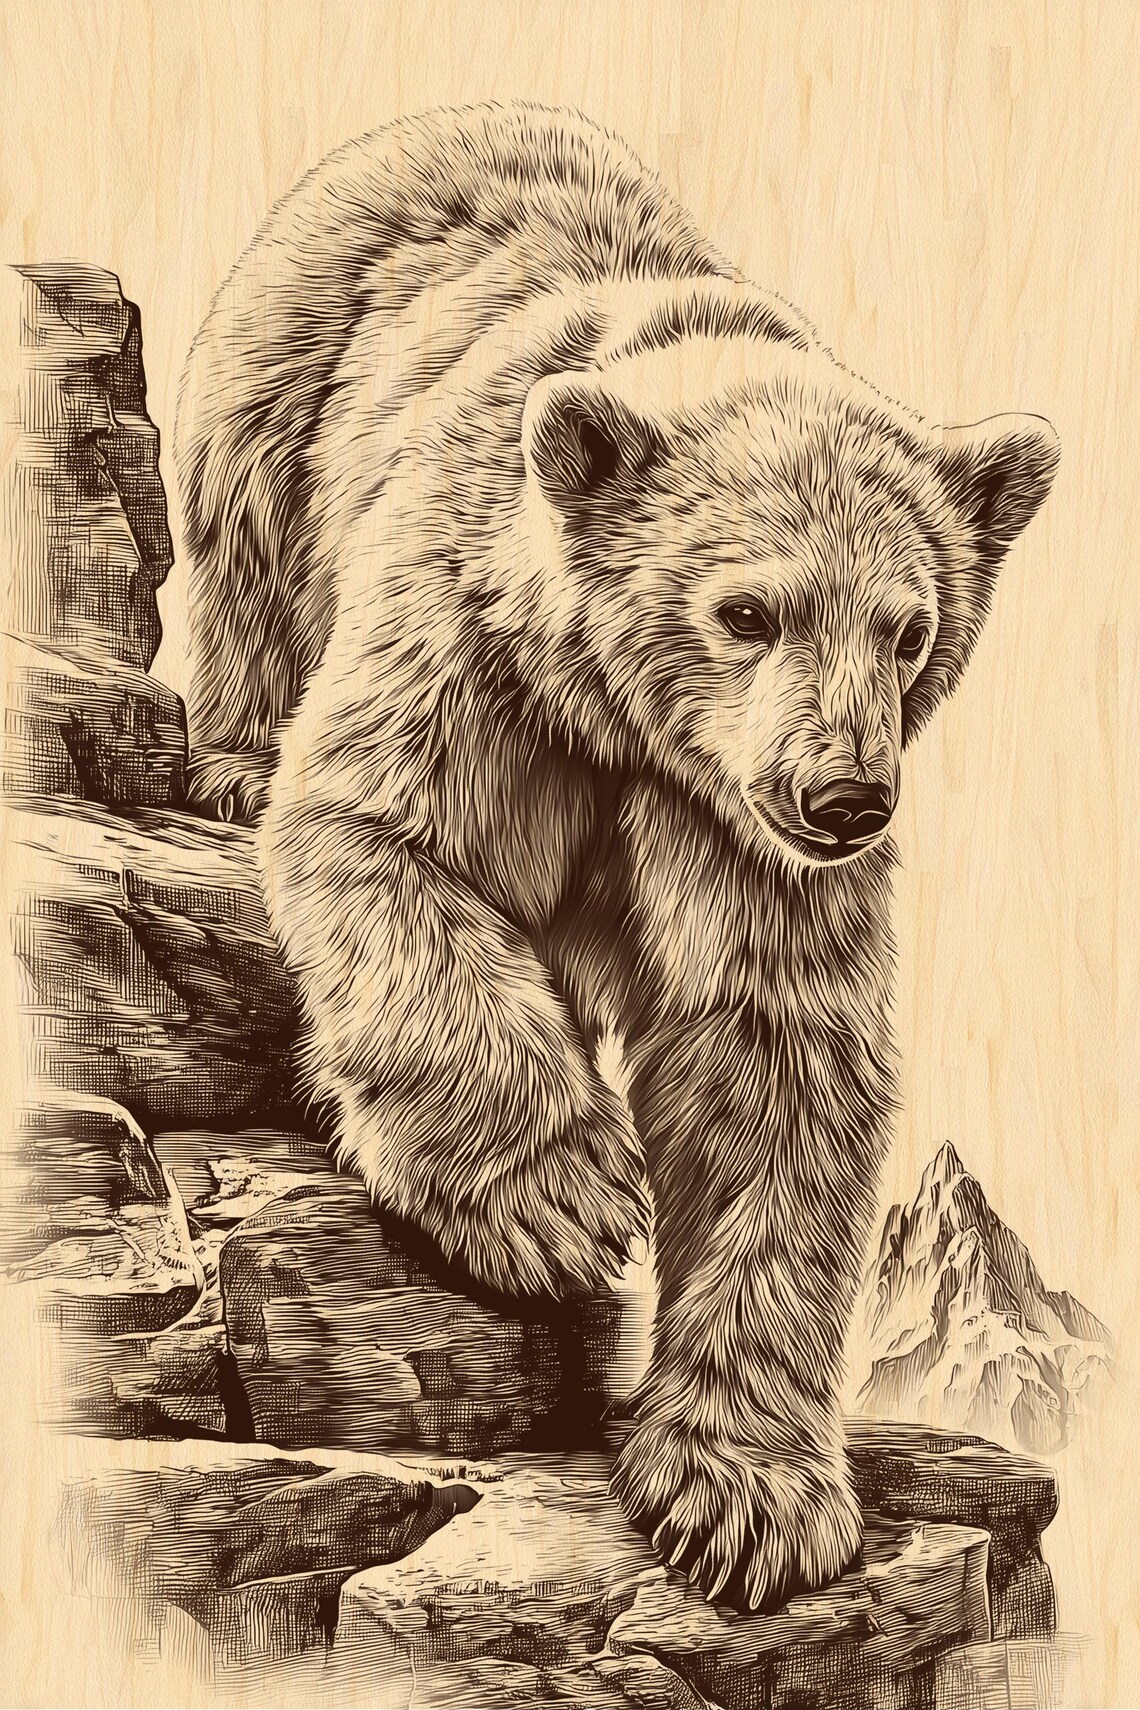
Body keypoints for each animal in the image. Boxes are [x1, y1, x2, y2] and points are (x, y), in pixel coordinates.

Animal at [174, 101, 1059, 1612]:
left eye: (910, 629)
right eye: (747, 610)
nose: (846, 797)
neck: (621, 713)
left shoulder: (725, 822)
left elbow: (768, 1053)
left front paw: (747, 1496)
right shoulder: (478, 641)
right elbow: (383, 831)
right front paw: (561, 1200)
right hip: (281, 373)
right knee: (241, 537)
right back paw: (229, 754)